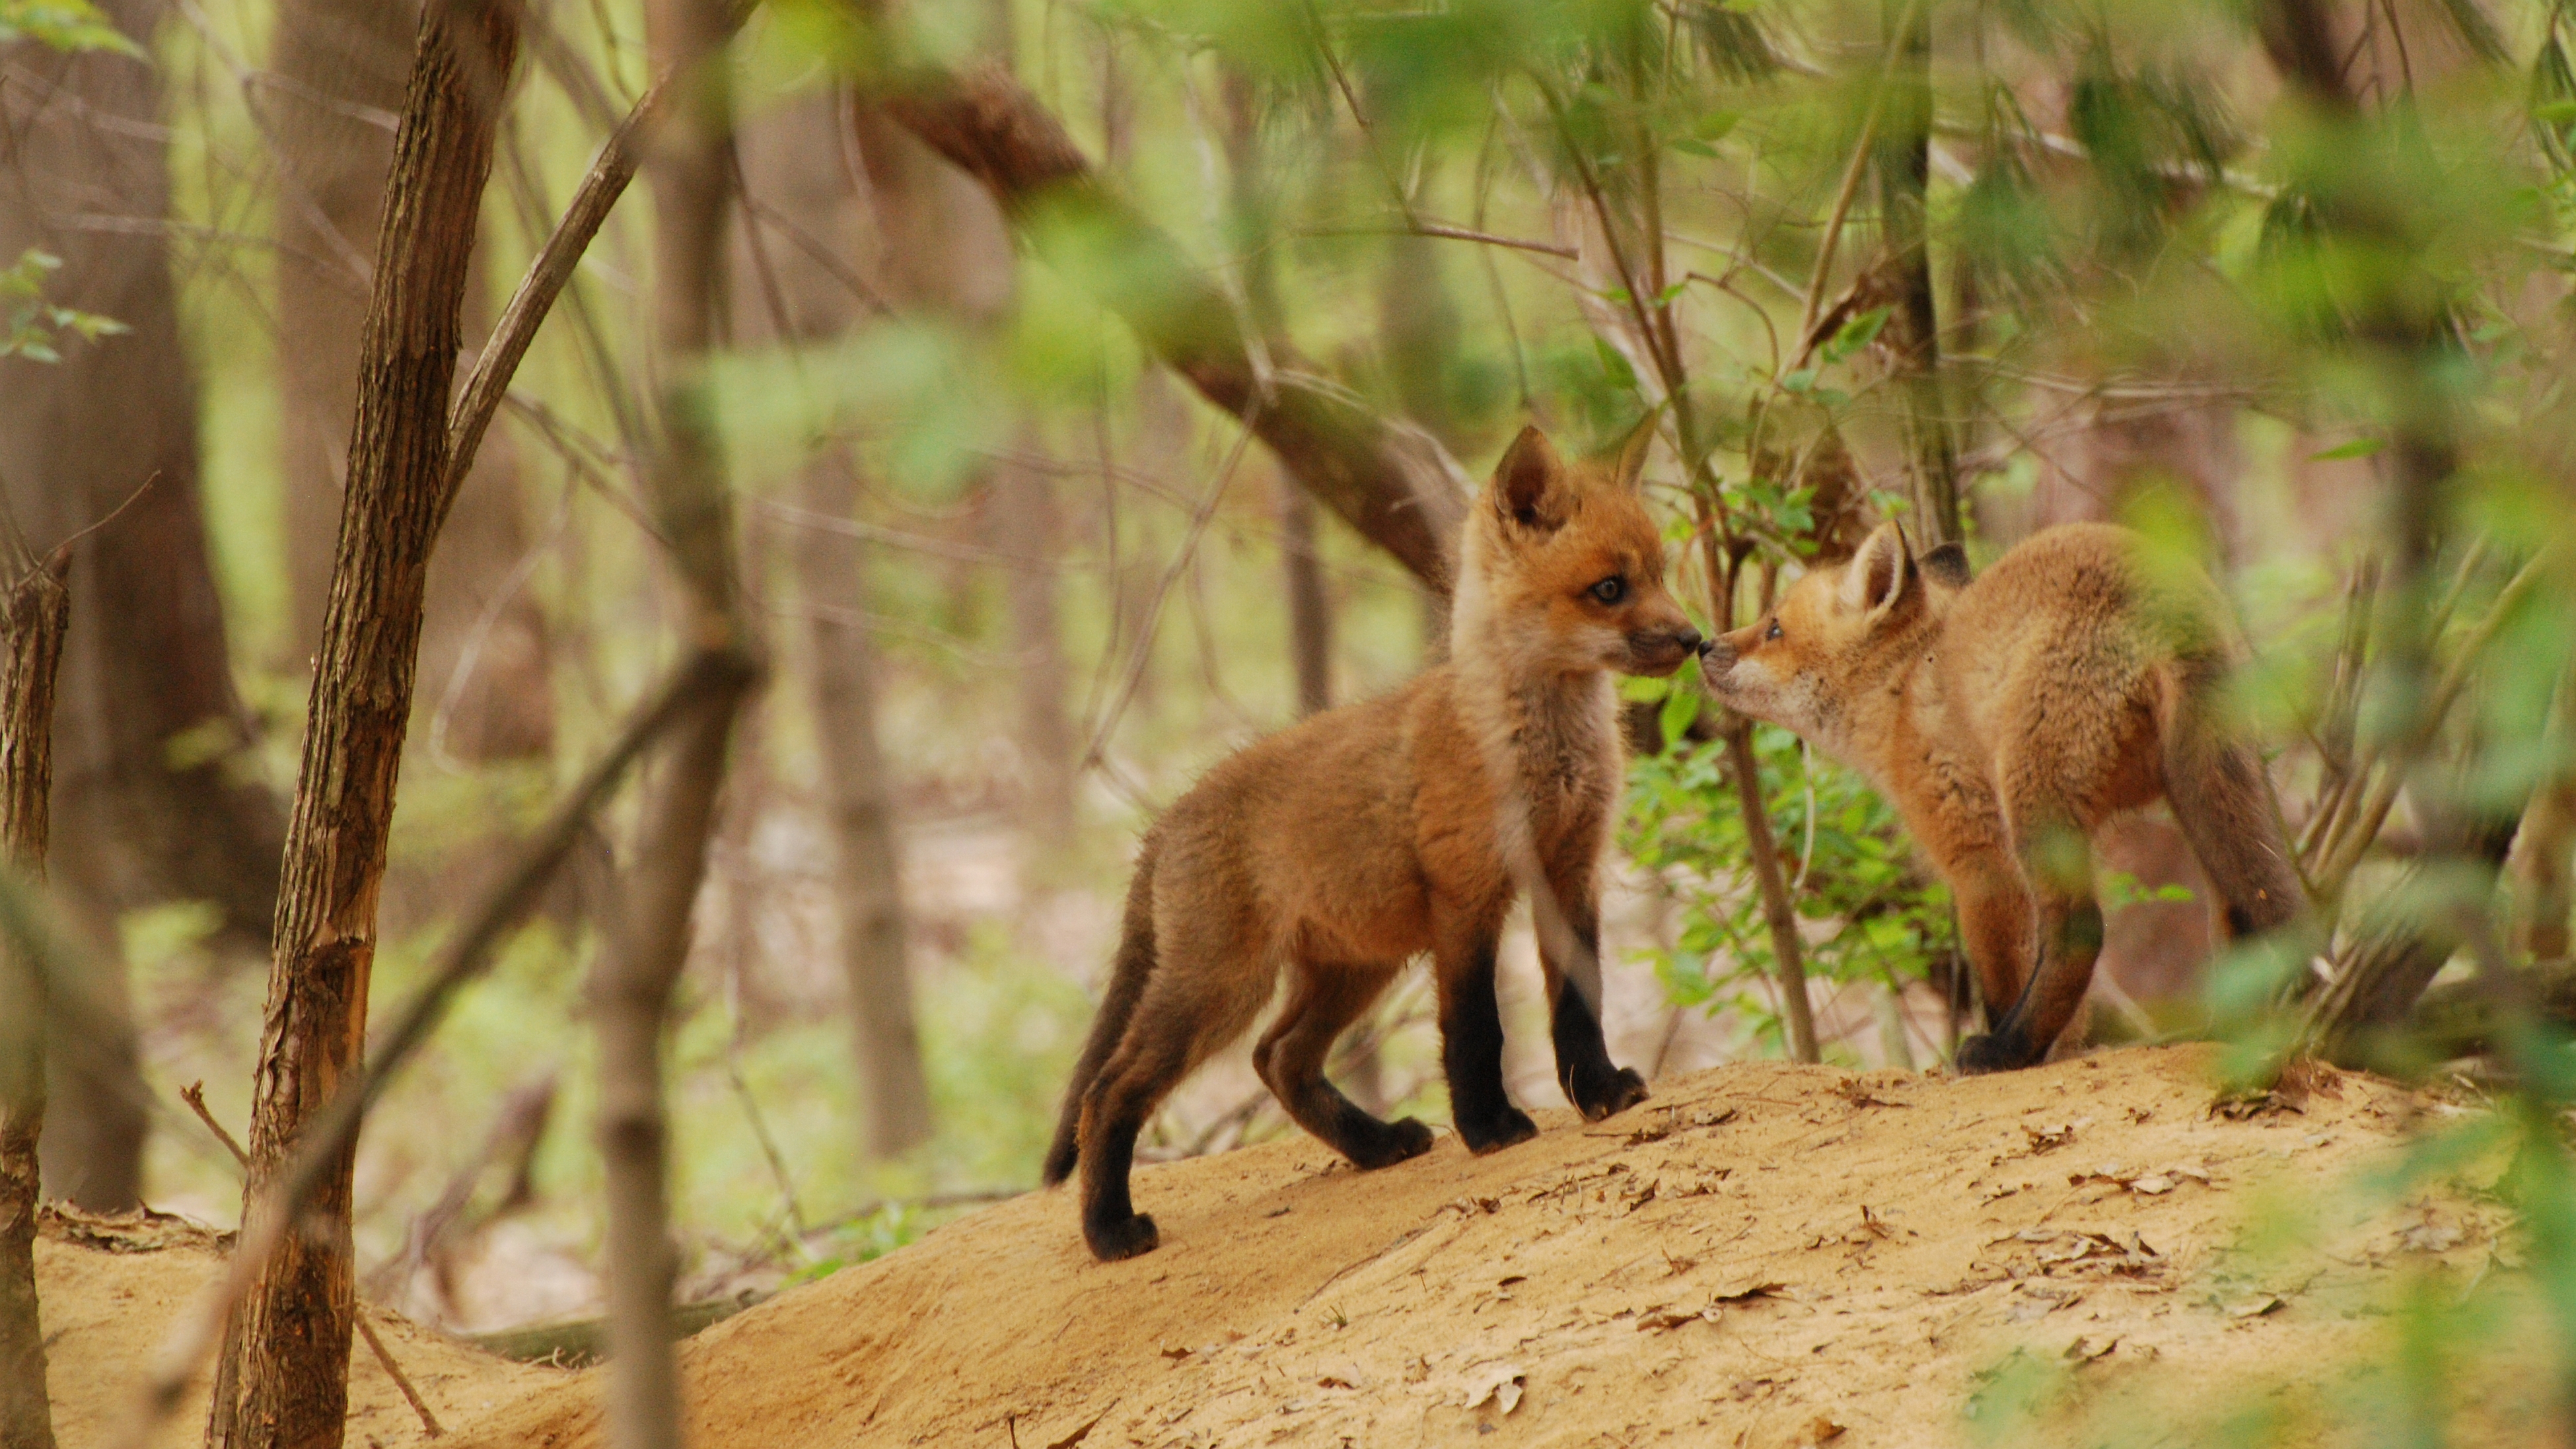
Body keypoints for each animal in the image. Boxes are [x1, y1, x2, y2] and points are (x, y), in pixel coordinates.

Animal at [1042, 420, 1703, 1261]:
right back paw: (1108, 1228)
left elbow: (1579, 1006)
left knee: (1278, 1058)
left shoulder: (1571, 874)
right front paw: (1489, 1127)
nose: (1696, 638)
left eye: (1658, 574)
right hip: (1225, 986)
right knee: (1111, 1089)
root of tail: (1162, 824)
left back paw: (1376, 1145)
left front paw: (1601, 1092)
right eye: (1610, 589)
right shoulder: (1466, 893)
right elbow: (1476, 1029)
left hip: (1355, 968)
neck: (1539, 746)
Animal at [1698, 520, 2303, 1074]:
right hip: (2209, 788)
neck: (1905, 687)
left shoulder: (1976, 852)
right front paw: (2060, 1052)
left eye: (1774, 628)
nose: (1703, 643)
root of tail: (2166, 598)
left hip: (2035, 801)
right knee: (2249, 909)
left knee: (2081, 930)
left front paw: (2019, 1053)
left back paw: (2006, 1050)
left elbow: (2000, 976)